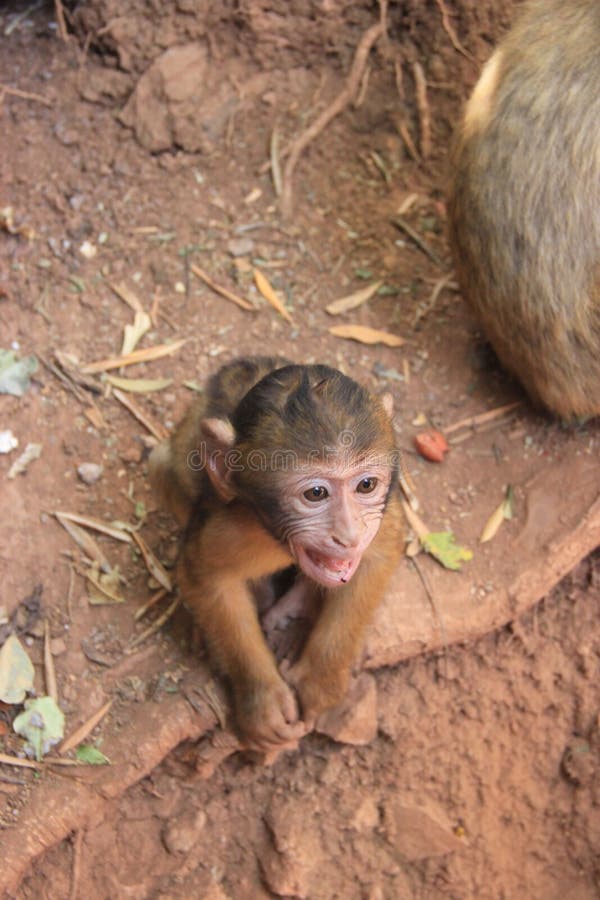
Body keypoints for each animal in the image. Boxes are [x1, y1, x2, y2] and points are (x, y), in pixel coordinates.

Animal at [149, 357, 404, 750]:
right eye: (315, 493)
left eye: (366, 485)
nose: (349, 536)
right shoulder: (229, 528)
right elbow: (206, 577)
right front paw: (263, 699)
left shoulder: (381, 518)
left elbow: (380, 555)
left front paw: (319, 681)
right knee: (162, 465)